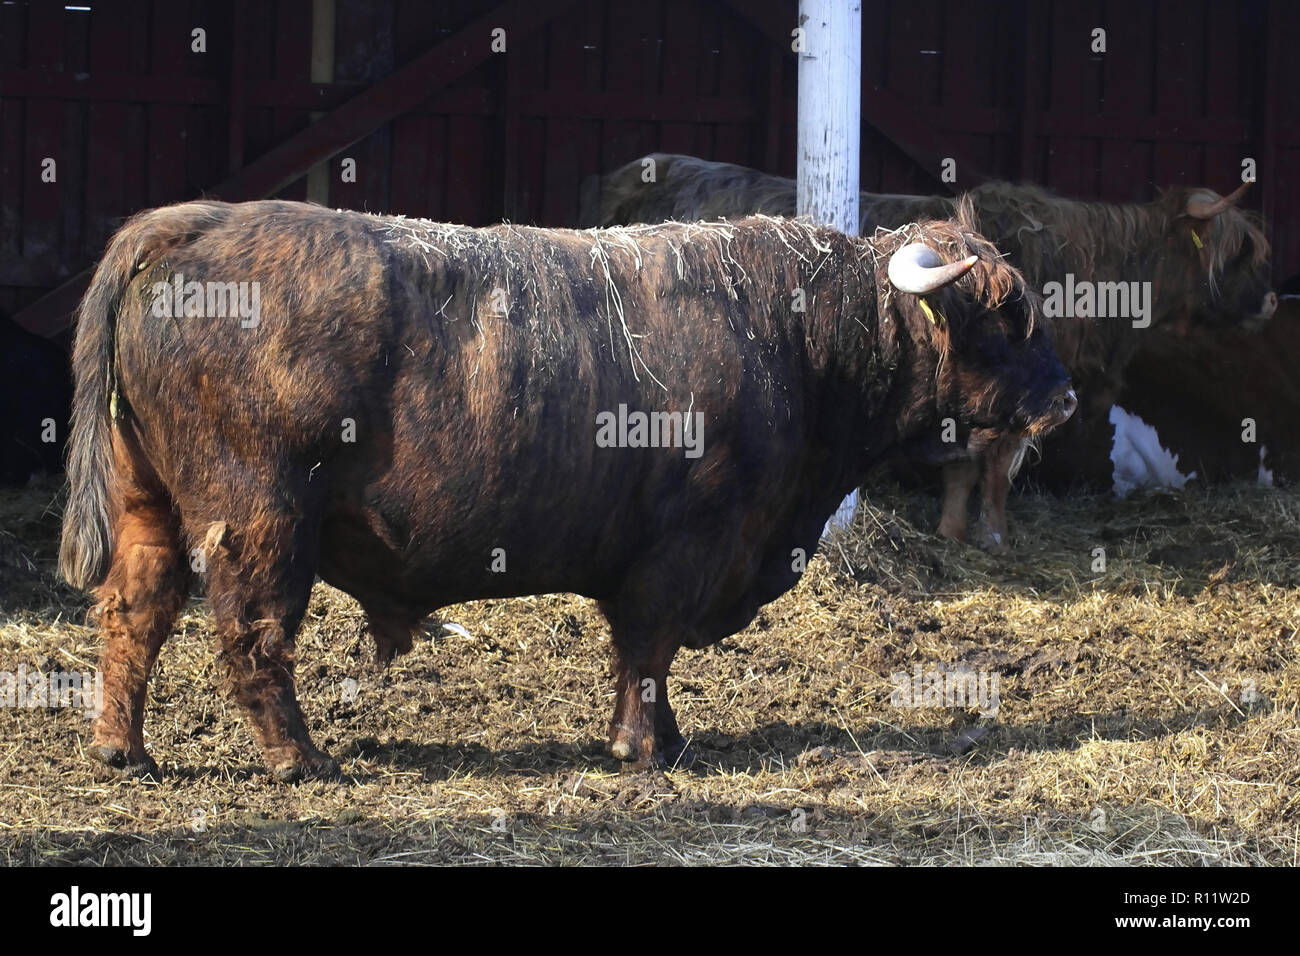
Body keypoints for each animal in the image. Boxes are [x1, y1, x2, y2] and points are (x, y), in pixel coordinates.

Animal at [59, 199, 1074, 780]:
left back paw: (123, 749)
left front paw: (665, 739)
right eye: (1005, 313)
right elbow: (649, 646)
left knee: (135, 610)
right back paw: (300, 760)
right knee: (252, 634)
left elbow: (641, 653)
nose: (1063, 397)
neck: (805, 335)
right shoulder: (689, 540)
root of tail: (191, 222)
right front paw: (644, 748)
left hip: (150, 502)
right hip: (261, 516)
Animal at [582, 154, 1276, 547]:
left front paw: (978, 531)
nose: (1273, 301)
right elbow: (980, 467)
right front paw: (975, 535)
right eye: (1243, 251)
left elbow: (987, 468)